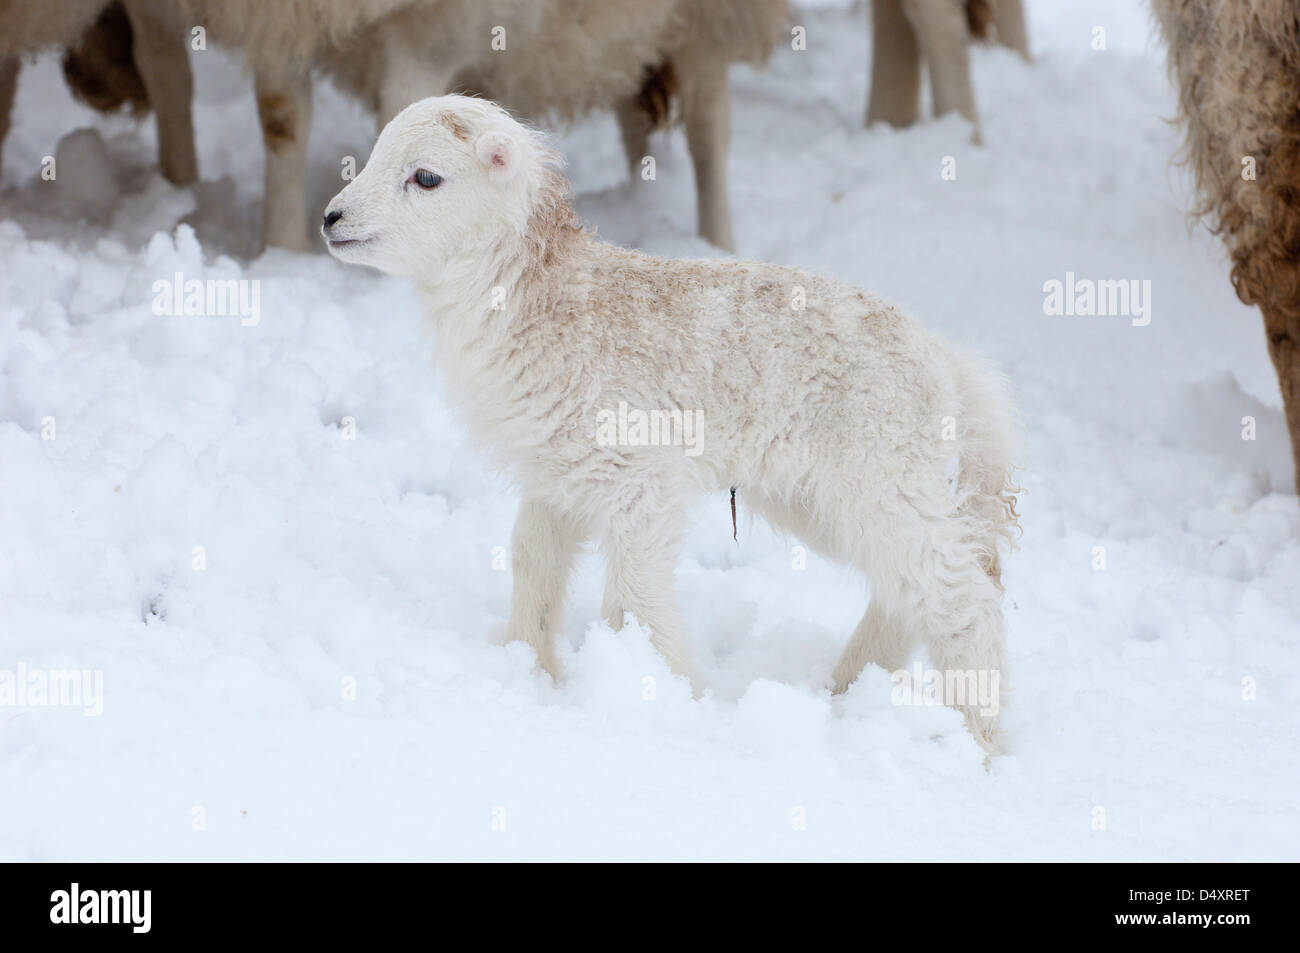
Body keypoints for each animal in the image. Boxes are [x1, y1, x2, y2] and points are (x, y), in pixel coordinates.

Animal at [182, 0, 787, 252]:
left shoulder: (434, 25)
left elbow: (405, 109)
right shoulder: (278, 20)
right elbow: (281, 119)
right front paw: (280, 249)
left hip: (711, 18)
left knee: (710, 130)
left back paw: (718, 244)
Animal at [321, 95, 1022, 754]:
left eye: (426, 178)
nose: (331, 219)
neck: (545, 303)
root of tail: (947, 360)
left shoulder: (641, 472)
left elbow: (631, 592)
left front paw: (654, 686)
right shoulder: (554, 470)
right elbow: (531, 561)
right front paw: (527, 665)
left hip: (881, 468)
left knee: (962, 595)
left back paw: (976, 742)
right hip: (821, 493)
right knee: (905, 589)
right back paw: (848, 689)